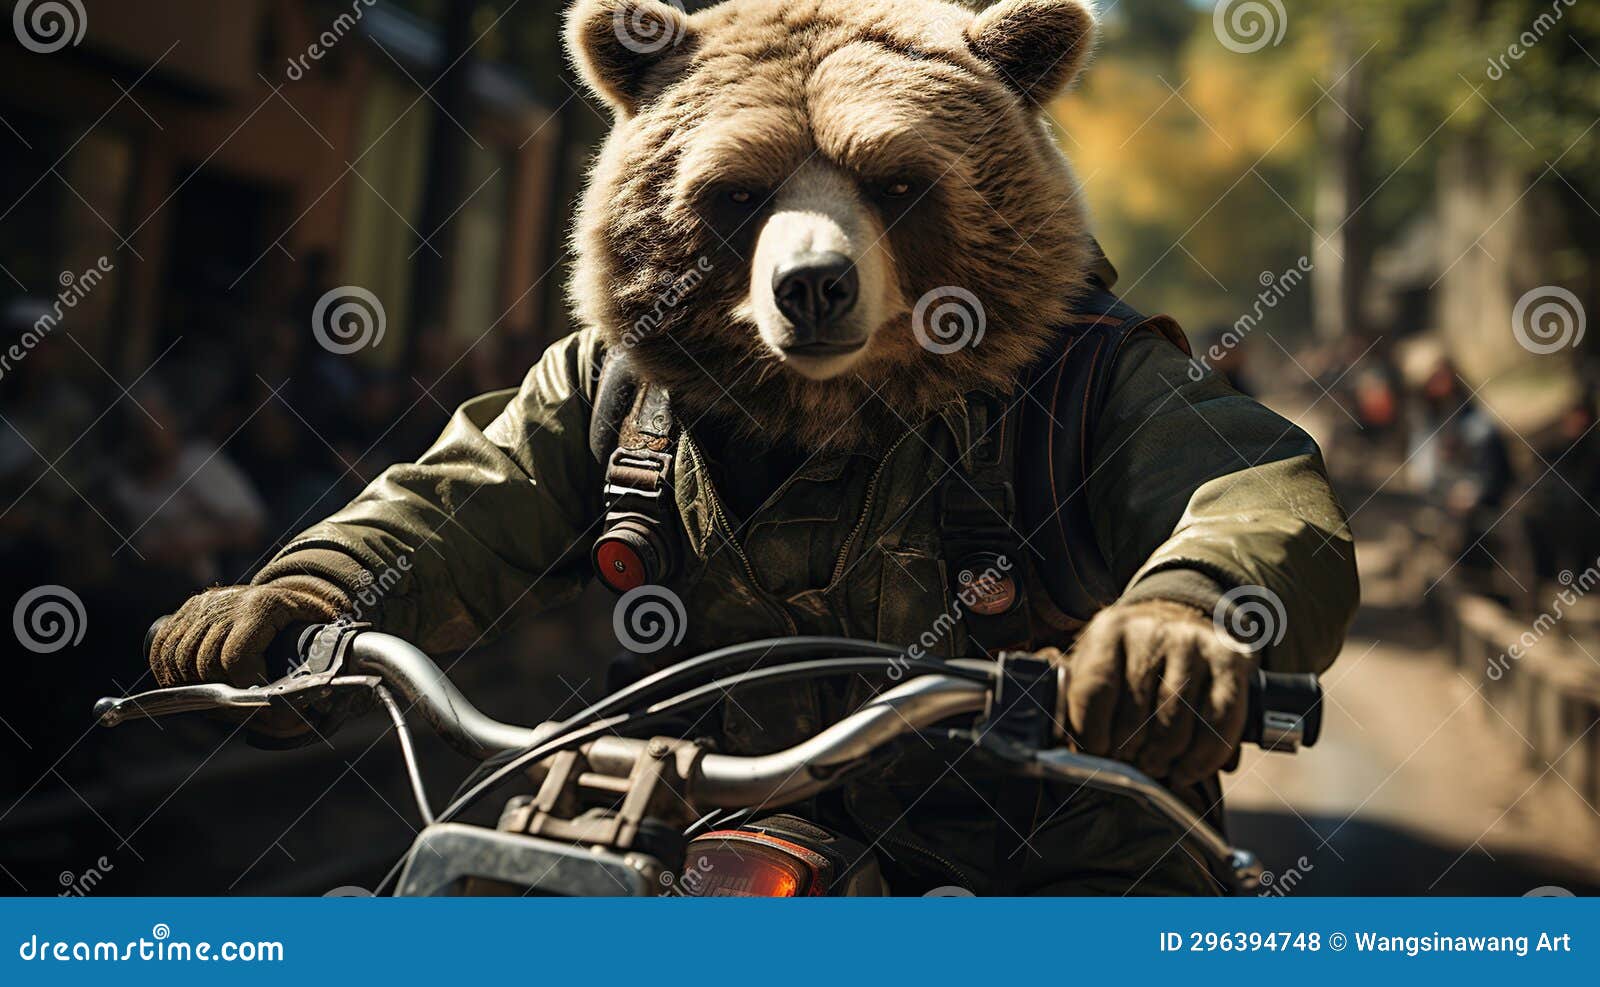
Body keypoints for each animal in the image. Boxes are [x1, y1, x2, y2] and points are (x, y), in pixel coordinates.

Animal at [148, 0, 1359, 895]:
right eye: (737, 190)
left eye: (897, 180)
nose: (812, 284)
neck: (826, 413)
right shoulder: (589, 379)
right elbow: (468, 483)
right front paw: (247, 619)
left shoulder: (1104, 383)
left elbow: (1237, 470)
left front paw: (1167, 645)